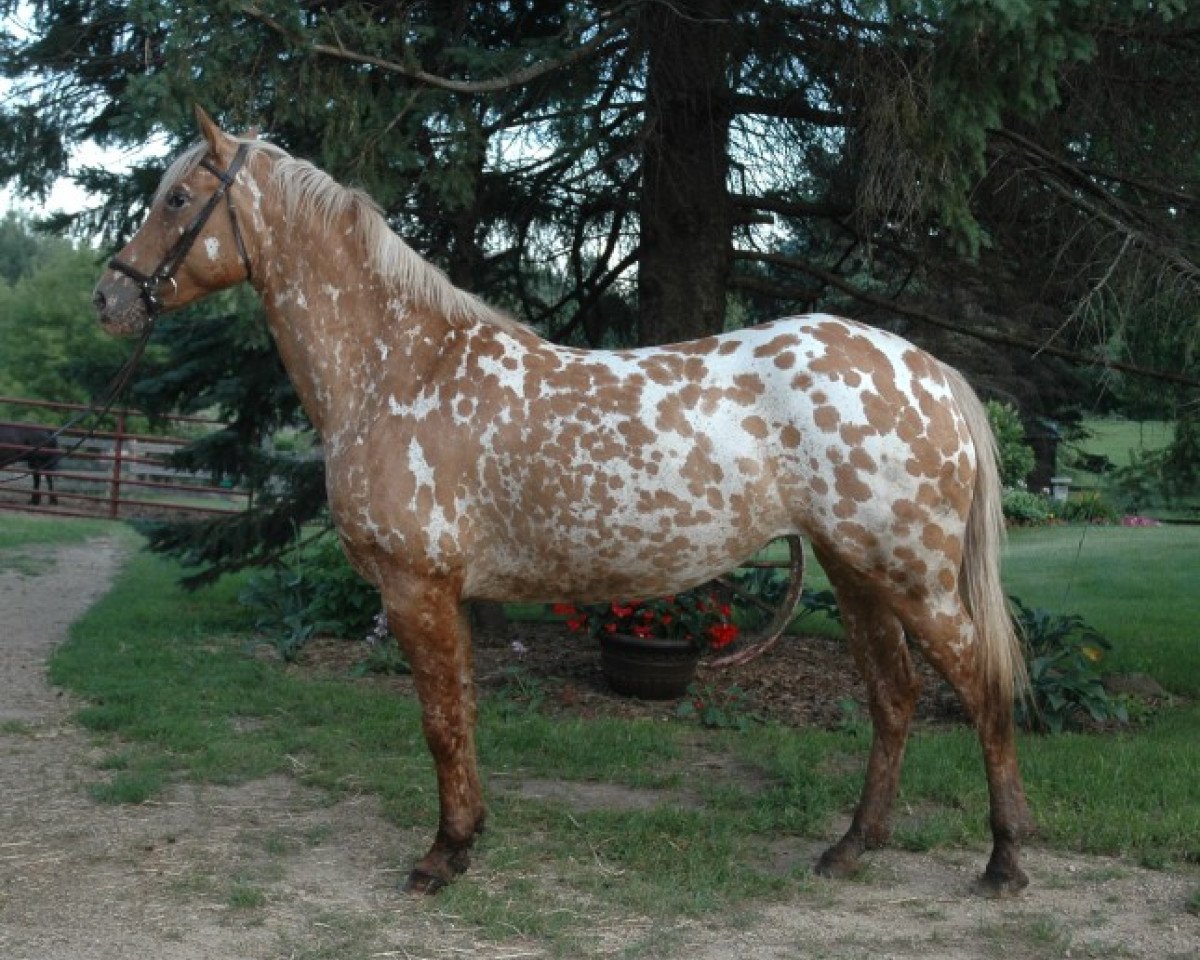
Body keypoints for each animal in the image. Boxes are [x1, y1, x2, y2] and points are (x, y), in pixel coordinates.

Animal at [93, 108, 1032, 897]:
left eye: (178, 198)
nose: (109, 298)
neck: (399, 367)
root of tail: (927, 370)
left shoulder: (415, 590)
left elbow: (439, 725)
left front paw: (439, 858)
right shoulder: (448, 596)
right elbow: (464, 717)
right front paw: (467, 839)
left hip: (912, 578)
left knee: (983, 689)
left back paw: (1004, 862)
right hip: (856, 573)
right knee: (894, 698)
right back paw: (851, 847)